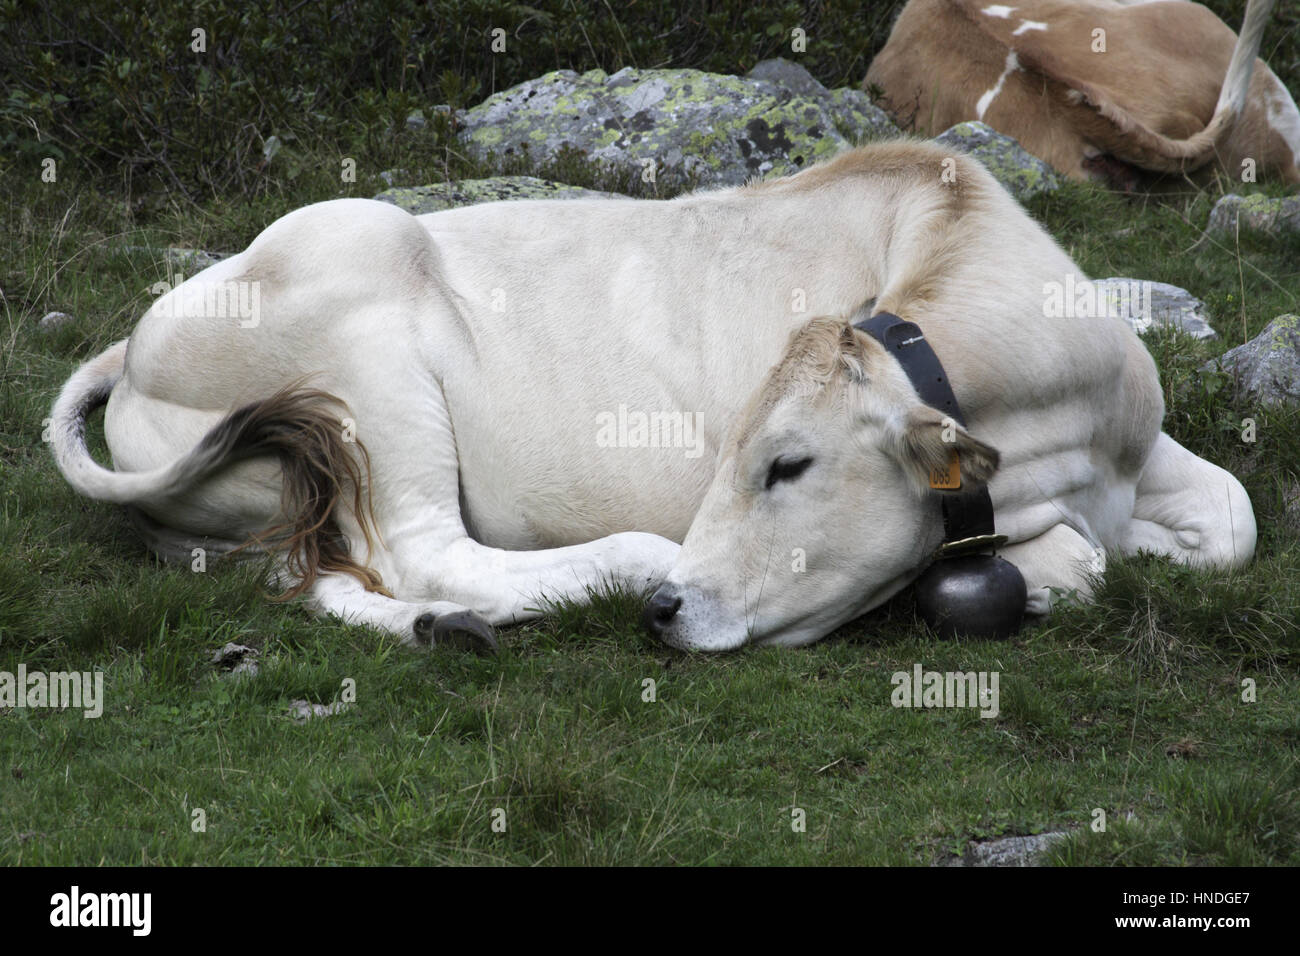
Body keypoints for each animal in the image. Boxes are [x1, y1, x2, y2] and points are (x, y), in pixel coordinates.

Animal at [49, 140, 1256, 653]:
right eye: (735, 456)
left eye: (787, 462)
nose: (676, 611)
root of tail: (136, 338)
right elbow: (1078, 563)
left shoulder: (1142, 447)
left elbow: (1234, 515)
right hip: (365, 307)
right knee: (428, 548)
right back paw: (619, 564)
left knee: (323, 576)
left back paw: (450, 629)